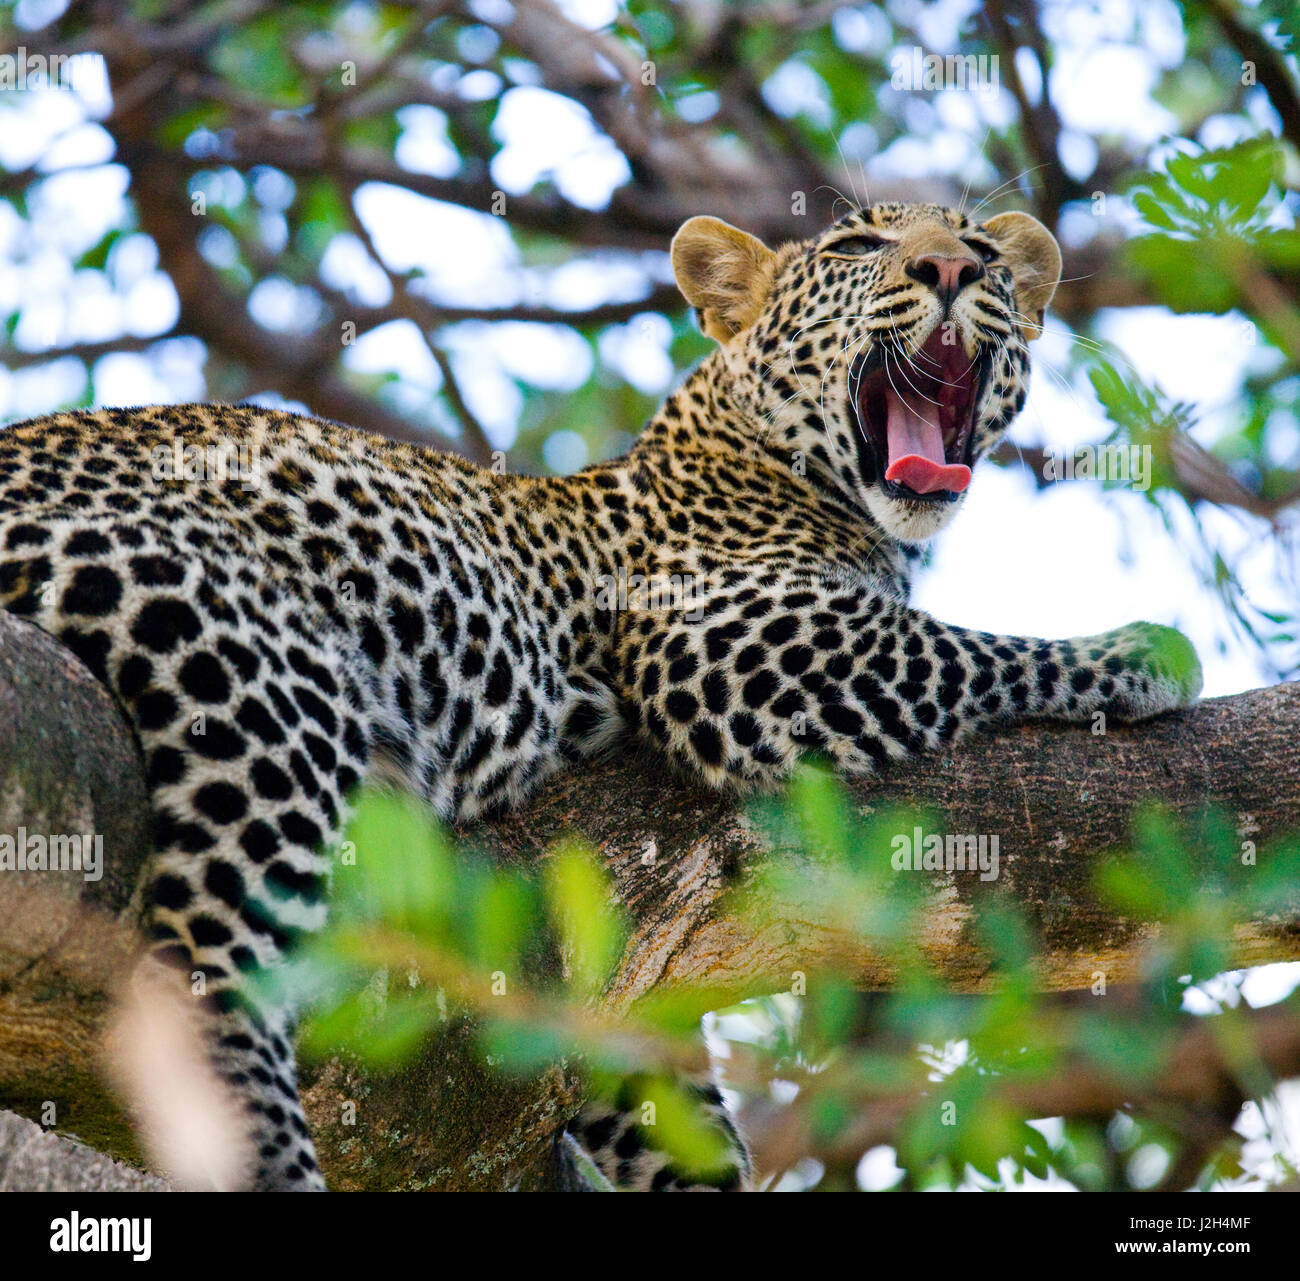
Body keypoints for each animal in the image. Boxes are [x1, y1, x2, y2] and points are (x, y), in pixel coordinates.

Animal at [0, 200, 1202, 1192]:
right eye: (861, 245)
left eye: (985, 249)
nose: (952, 268)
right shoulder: (731, 644)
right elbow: (976, 646)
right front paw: (1144, 651)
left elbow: (665, 1097)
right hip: (238, 647)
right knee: (203, 978)